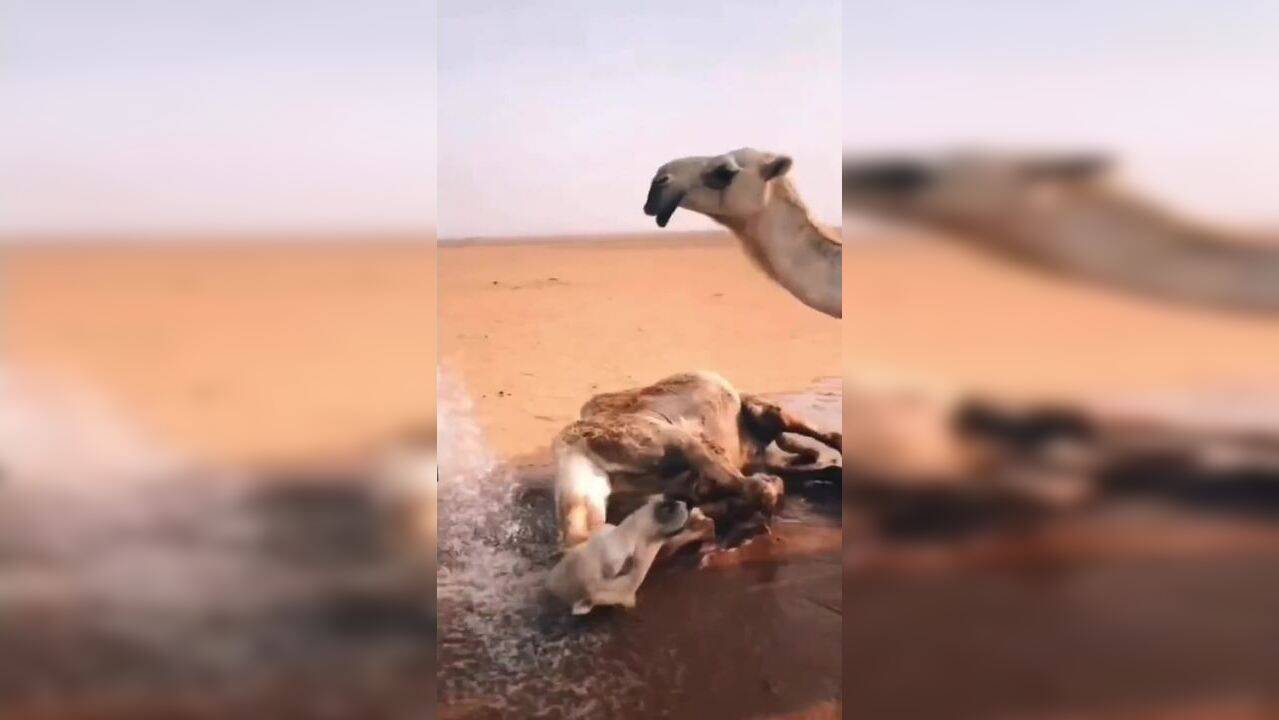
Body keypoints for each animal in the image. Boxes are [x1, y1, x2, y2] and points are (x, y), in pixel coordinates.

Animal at [553, 370, 842, 548]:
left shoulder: (678, 440)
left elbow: (756, 489)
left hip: (768, 411)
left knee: (824, 434)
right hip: (760, 452)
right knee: (815, 468)